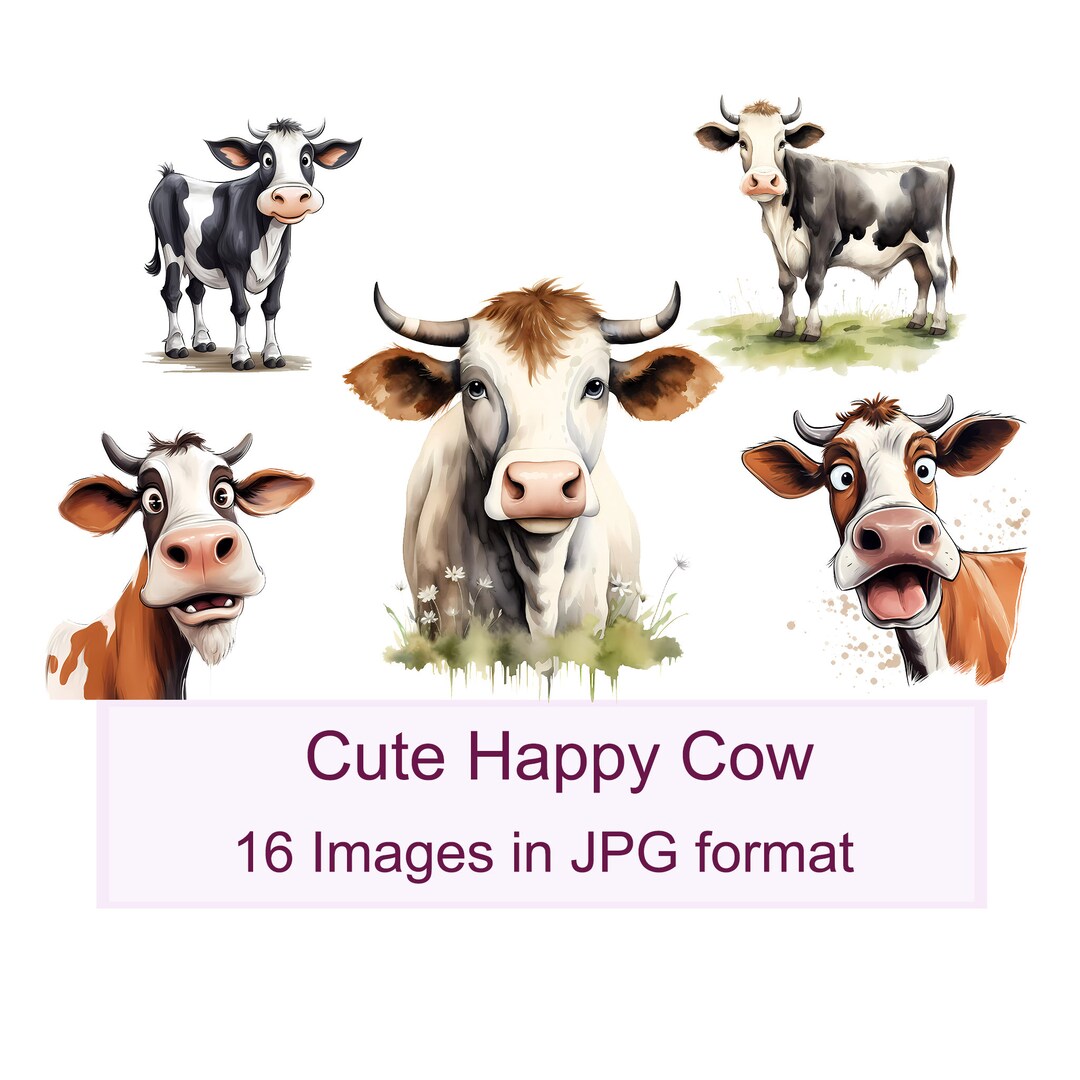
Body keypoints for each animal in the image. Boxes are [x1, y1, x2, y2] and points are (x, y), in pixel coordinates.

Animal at [145, 118, 361, 370]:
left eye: (306, 159)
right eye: (267, 159)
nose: (291, 197)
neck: (269, 238)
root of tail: (171, 175)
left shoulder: (281, 267)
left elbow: (271, 306)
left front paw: (273, 354)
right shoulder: (232, 264)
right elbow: (241, 308)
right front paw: (241, 355)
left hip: (197, 256)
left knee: (195, 292)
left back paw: (202, 340)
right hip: (172, 248)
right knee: (171, 292)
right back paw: (176, 345)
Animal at [696, 98, 956, 341]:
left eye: (781, 143)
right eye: (742, 142)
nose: (763, 181)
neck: (780, 218)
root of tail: (937, 163)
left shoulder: (825, 237)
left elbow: (813, 284)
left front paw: (811, 330)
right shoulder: (776, 244)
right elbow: (786, 284)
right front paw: (785, 327)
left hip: (930, 237)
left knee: (940, 276)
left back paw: (938, 325)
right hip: (913, 246)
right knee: (923, 277)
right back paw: (916, 321)